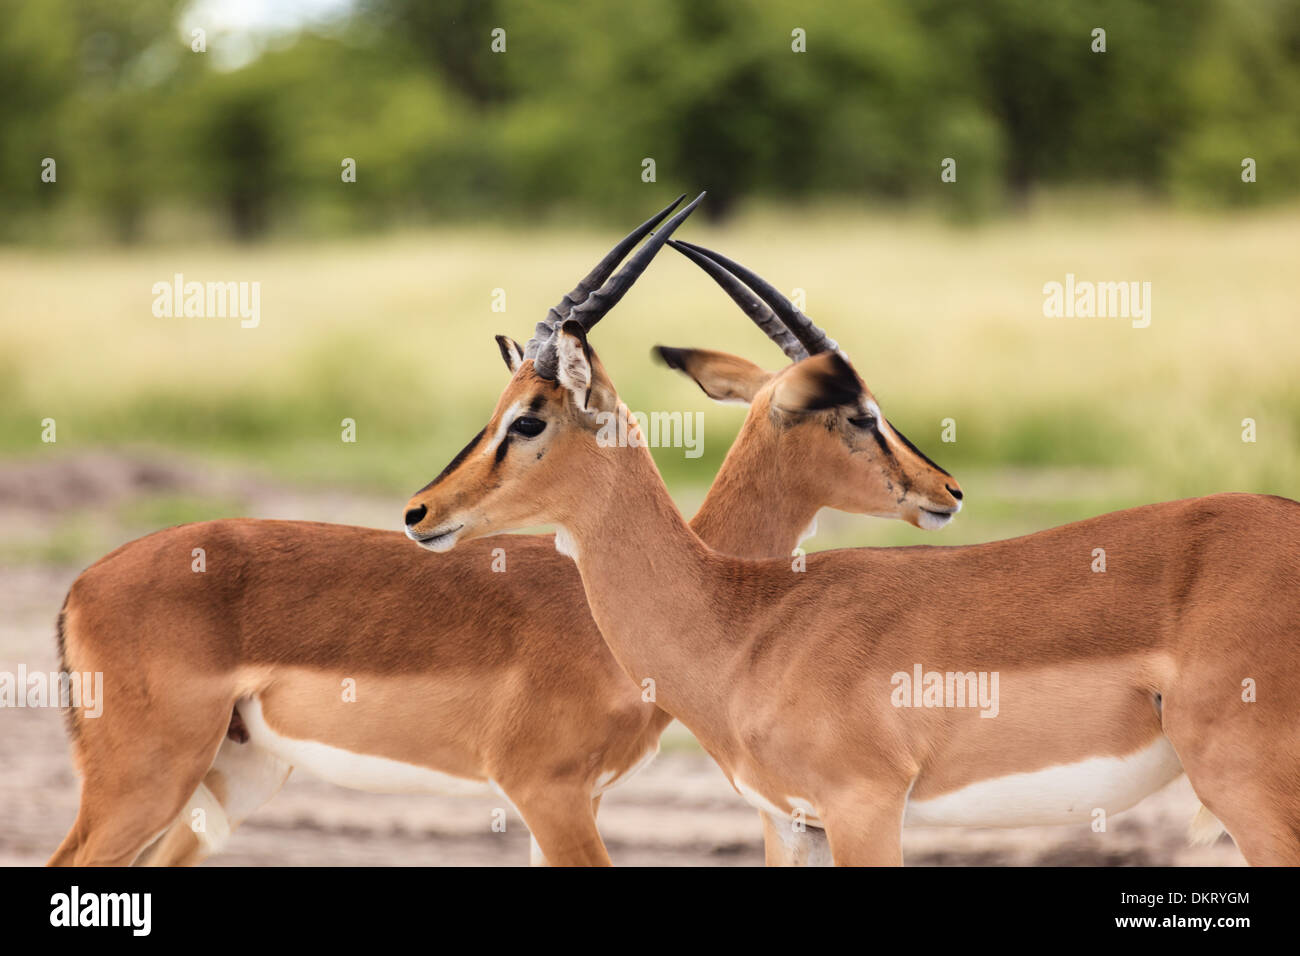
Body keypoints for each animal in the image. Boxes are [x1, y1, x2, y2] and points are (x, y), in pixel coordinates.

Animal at [48, 195, 961, 867]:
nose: (946, 489)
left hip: (228, 782)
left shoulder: (569, 800)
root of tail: (80, 587)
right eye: (860, 411)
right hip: (144, 780)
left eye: (525, 416)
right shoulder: (549, 793)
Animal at [404, 223, 1300, 866]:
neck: (746, 623)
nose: (419, 510)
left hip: (1250, 790)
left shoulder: (865, 807)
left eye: (529, 420)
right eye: (500, 410)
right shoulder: (789, 820)